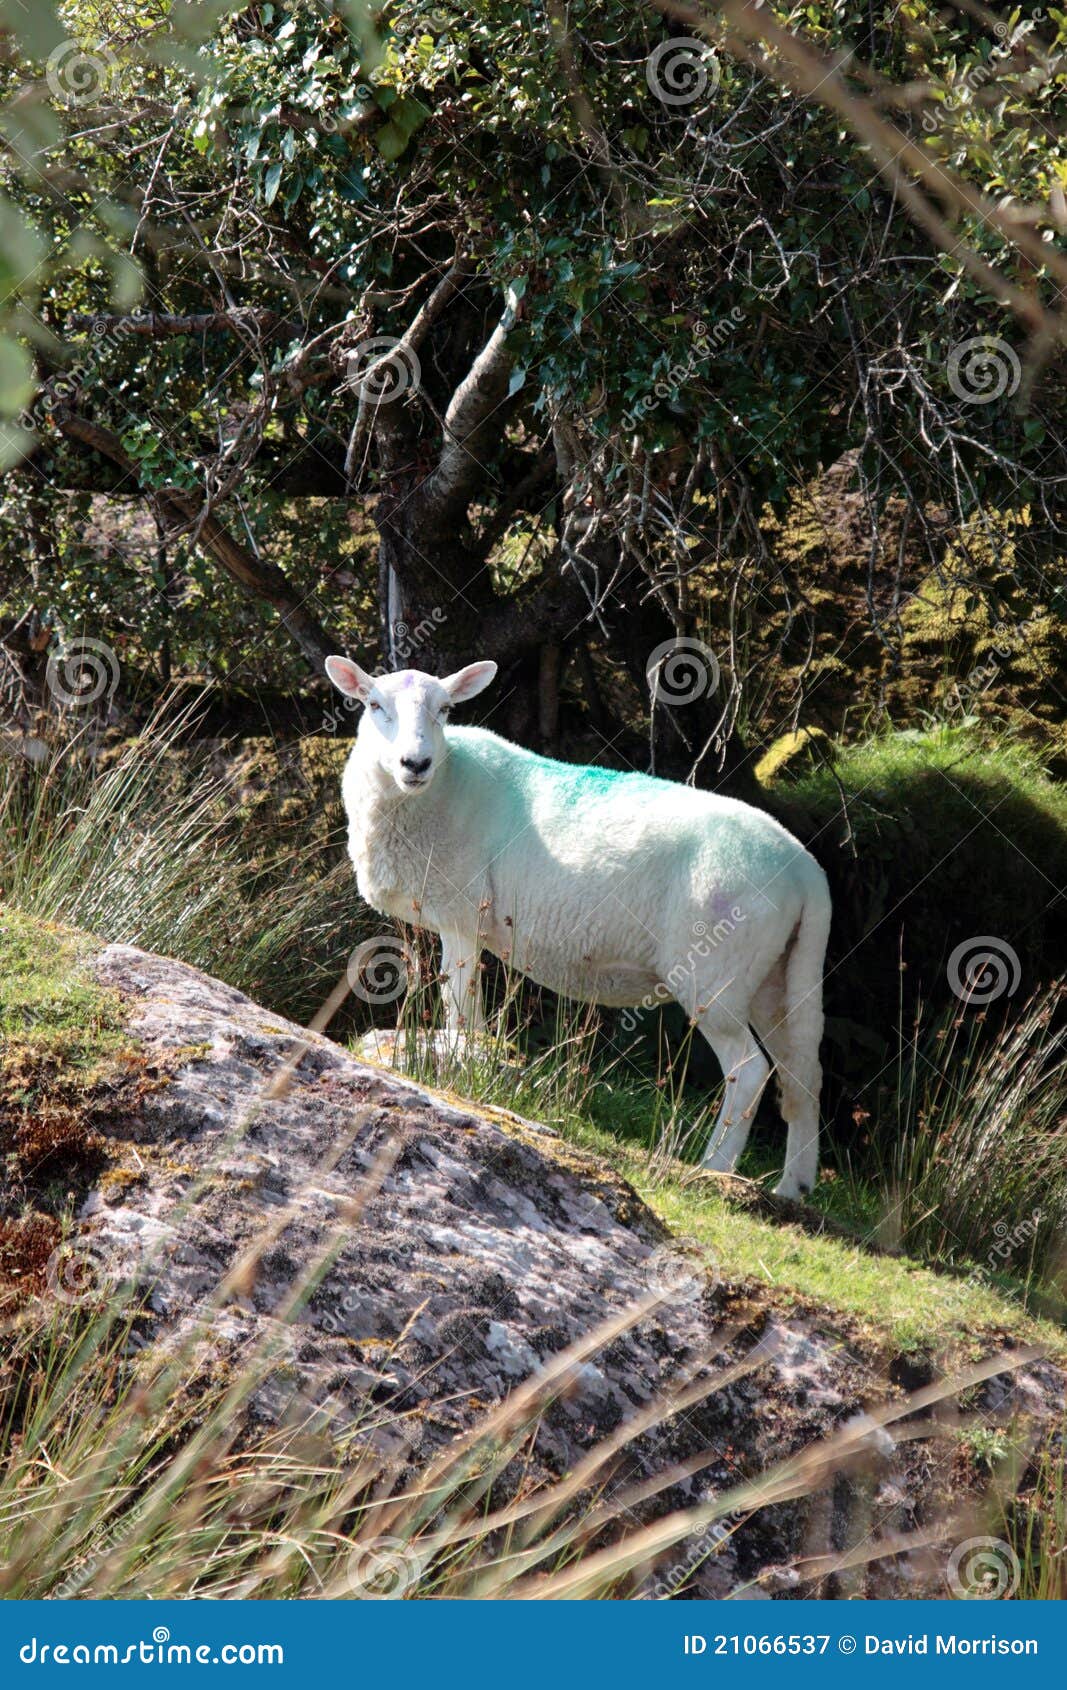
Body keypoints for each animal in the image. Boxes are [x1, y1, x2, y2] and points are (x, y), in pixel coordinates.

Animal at [325, 656, 832, 1199]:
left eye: (444, 709)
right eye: (375, 705)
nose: (415, 764)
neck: (441, 786)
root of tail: (806, 873)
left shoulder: (461, 910)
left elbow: (459, 1005)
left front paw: (459, 1073)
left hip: (716, 968)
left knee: (750, 1071)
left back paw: (712, 1168)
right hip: (779, 976)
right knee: (802, 1077)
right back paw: (794, 1188)